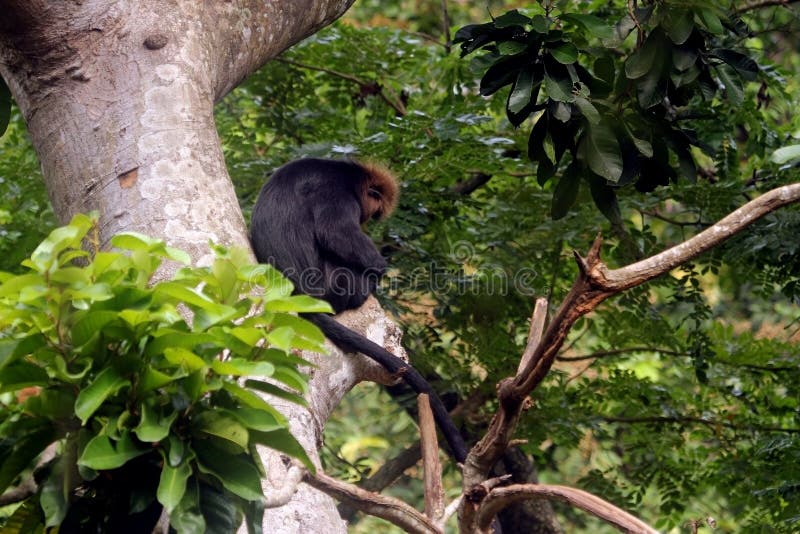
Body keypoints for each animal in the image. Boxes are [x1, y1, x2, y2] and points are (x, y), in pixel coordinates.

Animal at [250, 158, 468, 463]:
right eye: (374, 210)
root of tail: (298, 292)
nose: (369, 218)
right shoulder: (338, 193)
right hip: (338, 286)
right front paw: (380, 264)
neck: (349, 175)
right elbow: (334, 233)